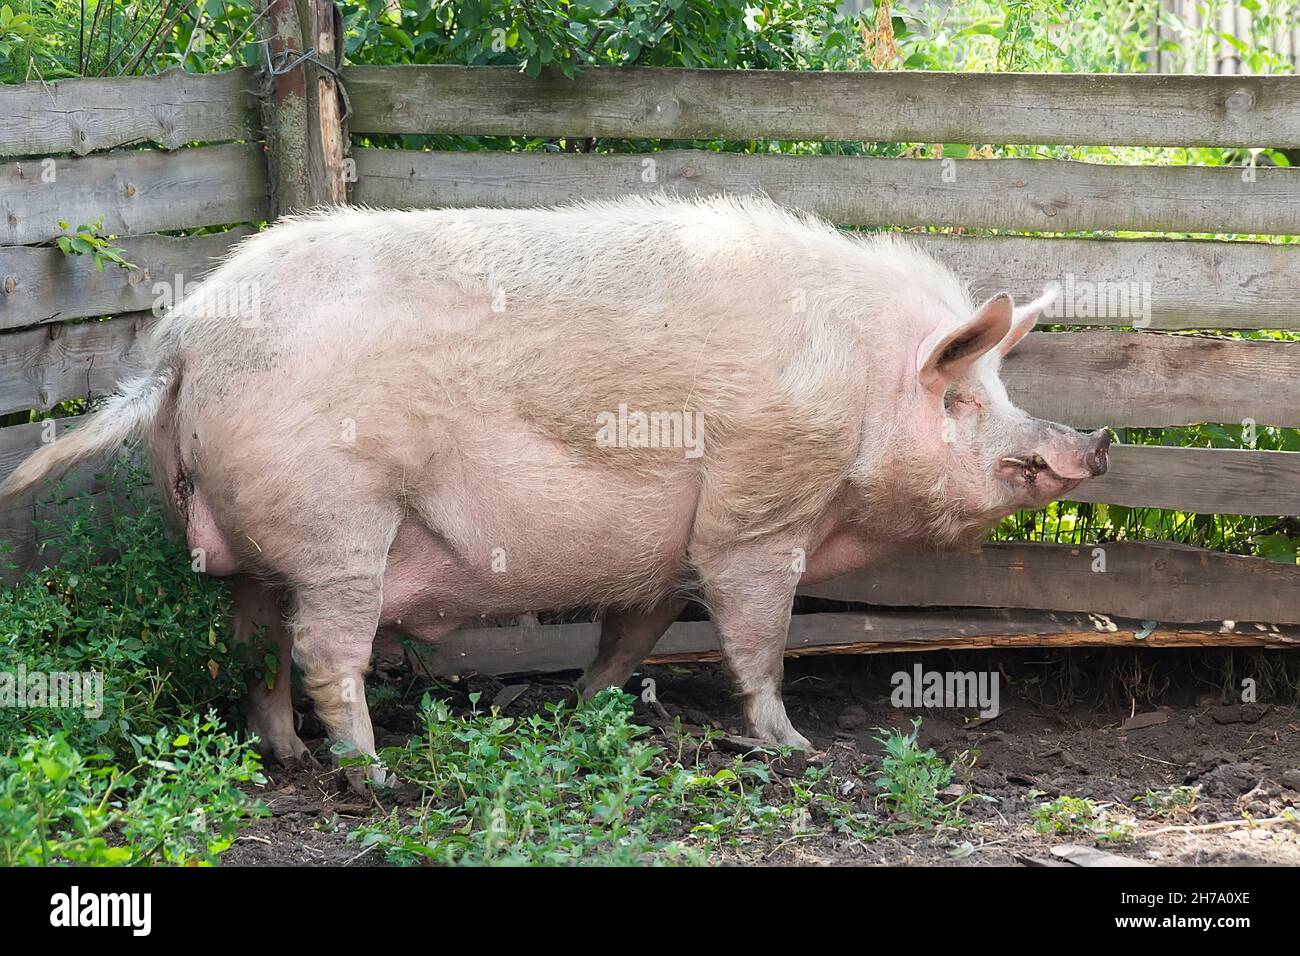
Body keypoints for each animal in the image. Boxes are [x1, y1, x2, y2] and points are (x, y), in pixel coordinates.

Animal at [0, 195, 1109, 790]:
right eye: (962, 396)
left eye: (1001, 387)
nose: (1091, 442)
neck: (859, 389)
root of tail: (181, 341)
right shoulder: (755, 515)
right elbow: (757, 639)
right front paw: (797, 747)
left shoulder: (663, 555)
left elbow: (631, 637)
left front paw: (582, 711)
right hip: (340, 524)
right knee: (322, 649)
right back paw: (375, 774)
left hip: (254, 546)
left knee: (252, 643)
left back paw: (289, 760)